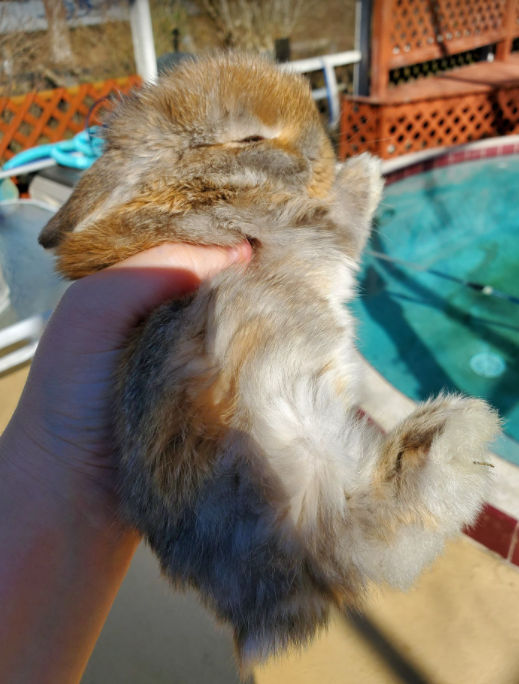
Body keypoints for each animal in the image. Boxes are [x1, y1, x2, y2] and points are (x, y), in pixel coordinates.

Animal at [39, 52, 500, 670]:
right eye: (251, 136)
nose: (324, 154)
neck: (196, 185)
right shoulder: (321, 229)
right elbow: (348, 217)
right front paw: (369, 171)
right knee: (370, 524)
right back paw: (442, 440)